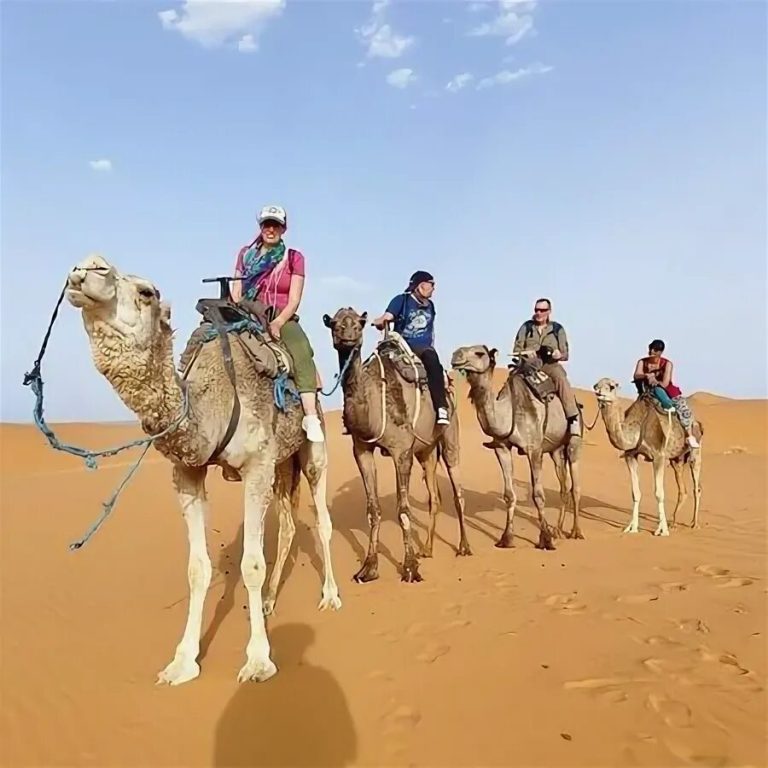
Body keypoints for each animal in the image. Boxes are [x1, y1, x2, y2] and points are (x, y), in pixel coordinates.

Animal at [64, 254, 341, 686]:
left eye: (146, 291)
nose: (88, 267)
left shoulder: (257, 465)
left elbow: (251, 564)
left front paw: (258, 661)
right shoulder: (187, 472)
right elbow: (197, 568)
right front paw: (182, 662)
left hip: (312, 451)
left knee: (323, 517)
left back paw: (330, 595)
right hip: (283, 462)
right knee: (289, 524)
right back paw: (269, 602)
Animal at [323, 308, 471, 584]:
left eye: (358, 324)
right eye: (334, 324)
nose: (347, 337)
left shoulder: (402, 451)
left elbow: (404, 510)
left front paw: (410, 568)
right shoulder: (361, 449)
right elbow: (373, 509)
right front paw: (368, 568)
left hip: (450, 435)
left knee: (458, 493)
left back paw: (464, 547)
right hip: (426, 450)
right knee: (435, 497)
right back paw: (427, 549)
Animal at [450, 345, 583, 550]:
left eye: (479, 353)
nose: (455, 356)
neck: (508, 412)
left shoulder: (534, 449)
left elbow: (538, 495)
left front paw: (545, 539)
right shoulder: (502, 448)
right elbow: (509, 495)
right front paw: (506, 538)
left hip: (573, 443)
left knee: (575, 488)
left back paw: (575, 531)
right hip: (555, 450)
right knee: (564, 487)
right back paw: (558, 530)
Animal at [592, 378, 703, 535]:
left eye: (612, 386)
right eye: (596, 385)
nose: (598, 392)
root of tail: (698, 423)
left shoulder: (658, 456)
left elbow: (659, 493)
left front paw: (662, 531)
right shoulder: (630, 456)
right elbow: (636, 493)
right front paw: (632, 528)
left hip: (695, 453)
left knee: (697, 487)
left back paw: (694, 524)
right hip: (677, 459)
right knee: (682, 489)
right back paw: (674, 523)